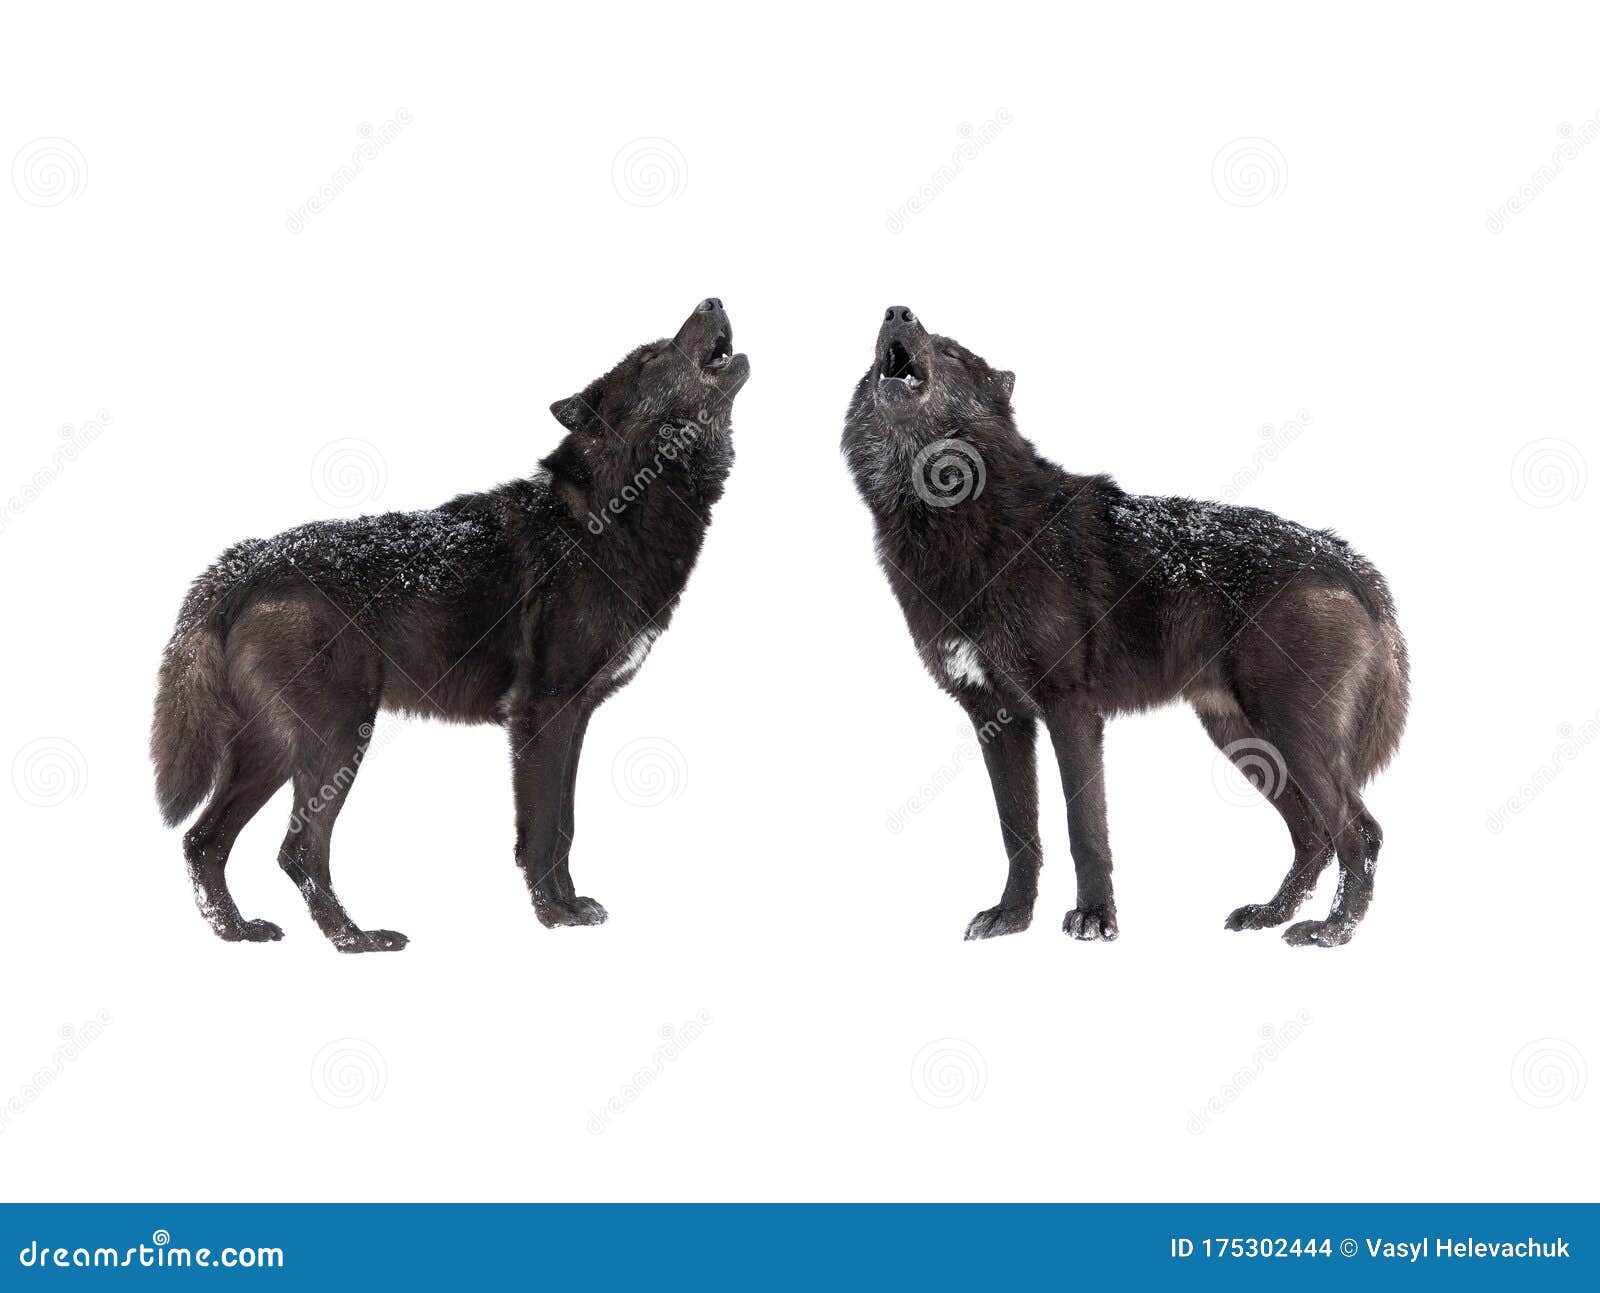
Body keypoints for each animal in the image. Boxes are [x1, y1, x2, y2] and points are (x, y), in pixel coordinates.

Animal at [152, 299, 749, 951]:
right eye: (650, 357)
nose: (712, 300)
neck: (611, 514)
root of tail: (248, 560)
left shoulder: (577, 715)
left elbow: (565, 823)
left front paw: (570, 906)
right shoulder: (543, 713)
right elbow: (544, 829)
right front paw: (553, 916)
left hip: (276, 751)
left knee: (204, 841)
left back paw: (238, 931)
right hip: (337, 738)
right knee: (297, 850)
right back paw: (357, 940)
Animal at [842, 307, 1408, 947]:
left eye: (952, 353)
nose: (898, 311)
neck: (954, 512)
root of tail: (1346, 562)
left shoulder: (1069, 710)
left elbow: (1084, 830)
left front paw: (1094, 919)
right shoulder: (996, 720)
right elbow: (1018, 833)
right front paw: (1011, 918)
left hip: (1291, 734)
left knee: (1360, 832)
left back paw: (1331, 930)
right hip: (1247, 741)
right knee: (1313, 836)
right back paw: (1269, 914)